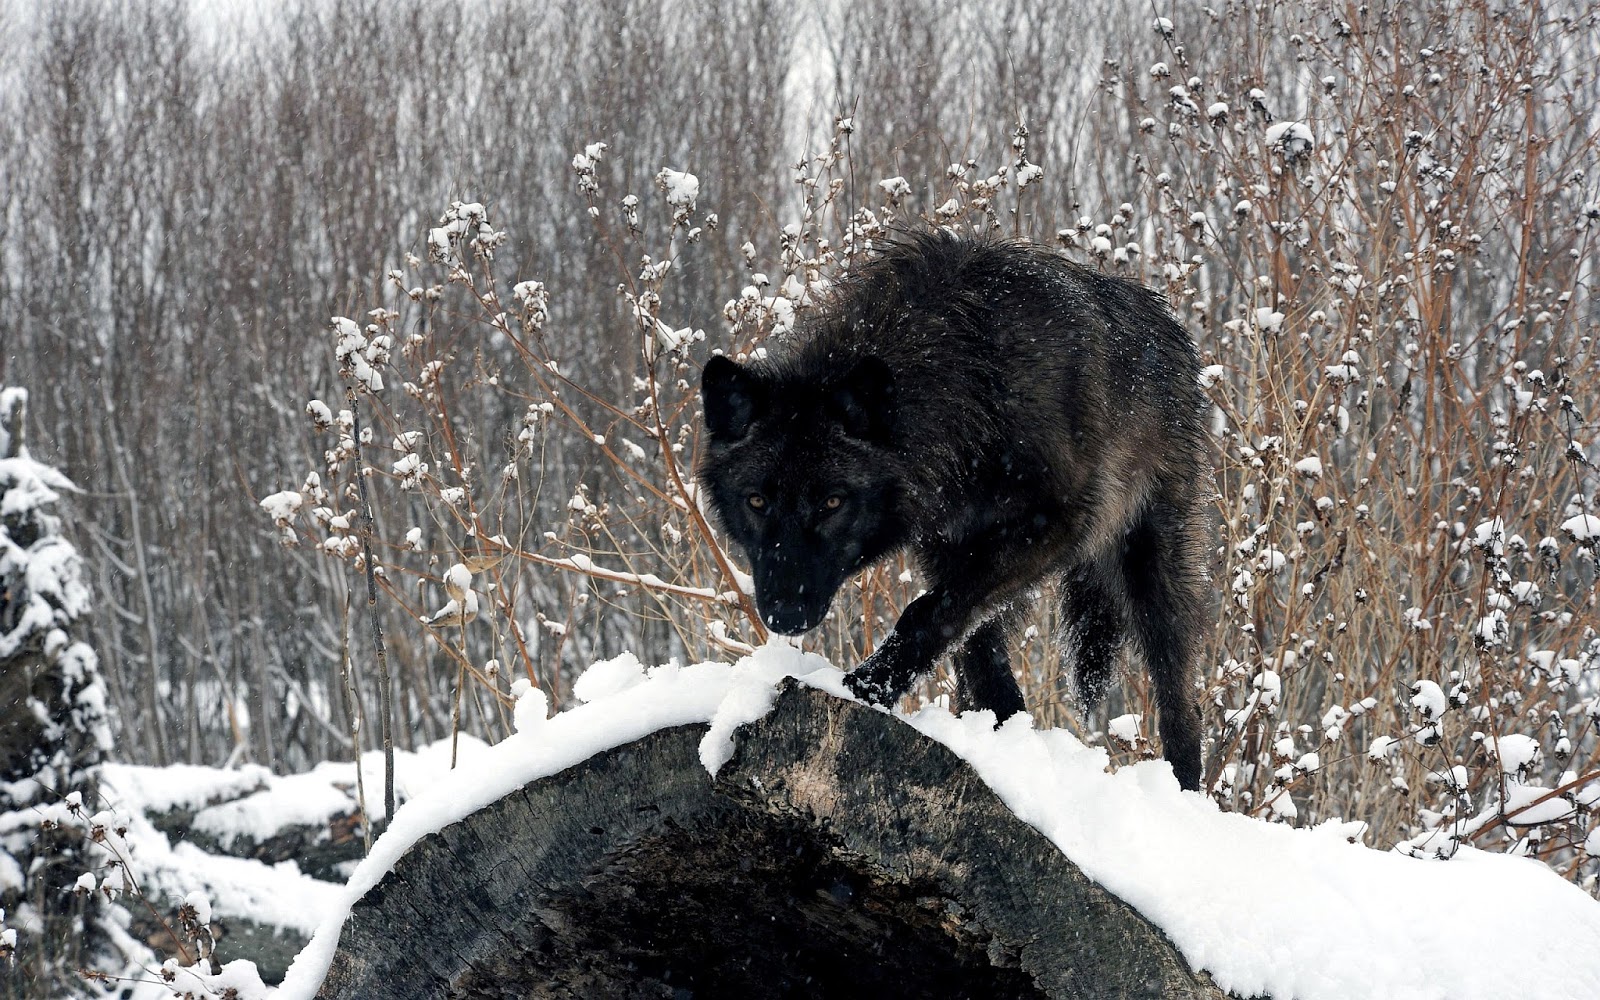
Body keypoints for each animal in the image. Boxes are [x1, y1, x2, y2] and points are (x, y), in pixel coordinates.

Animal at [697, 230, 1210, 791]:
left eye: (832, 502)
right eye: (757, 501)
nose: (785, 613)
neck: (970, 376)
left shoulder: (1057, 526)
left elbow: (928, 612)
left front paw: (866, 687)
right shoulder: (947, 548)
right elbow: (972, 647)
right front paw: (1004, 743)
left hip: (1150, 568)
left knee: (1179, 694)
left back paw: (1184, 792)